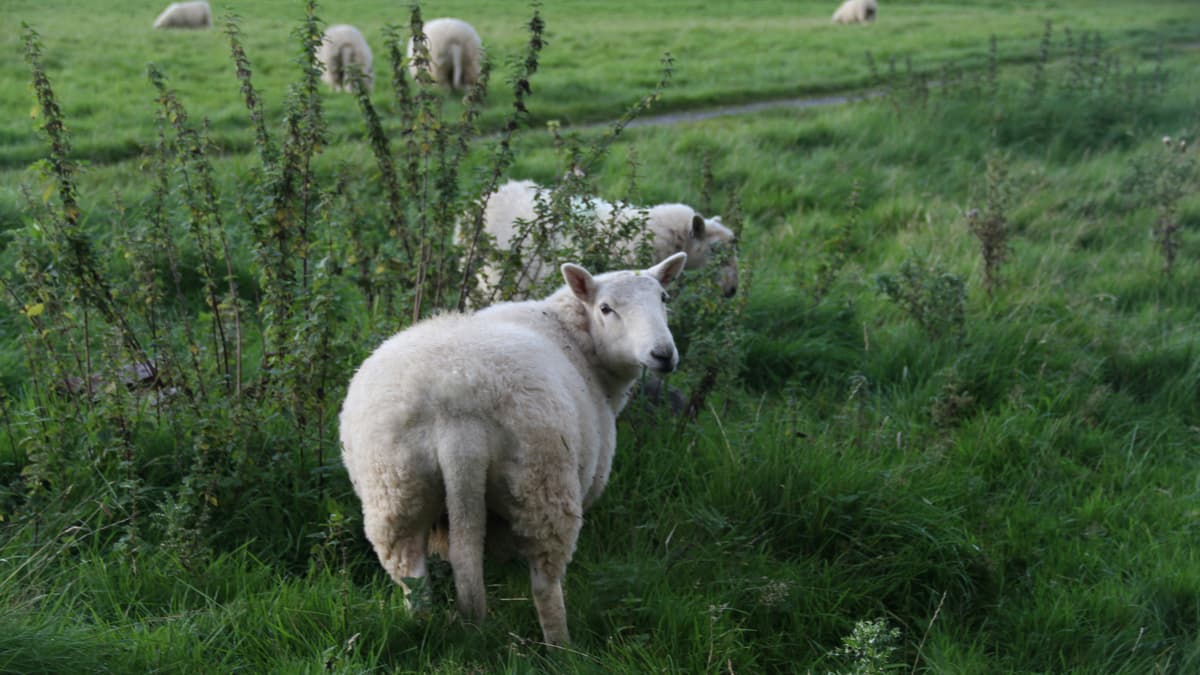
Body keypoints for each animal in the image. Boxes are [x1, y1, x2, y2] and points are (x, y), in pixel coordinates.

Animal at [339, 252, 689, 645]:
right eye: (606, 308)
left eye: (664, 298)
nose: (663, 354)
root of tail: (457, 408)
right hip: (542, 482)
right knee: (546, 585)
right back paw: (563, 648)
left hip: (395, 490)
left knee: (413, 582)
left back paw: (421, 628)